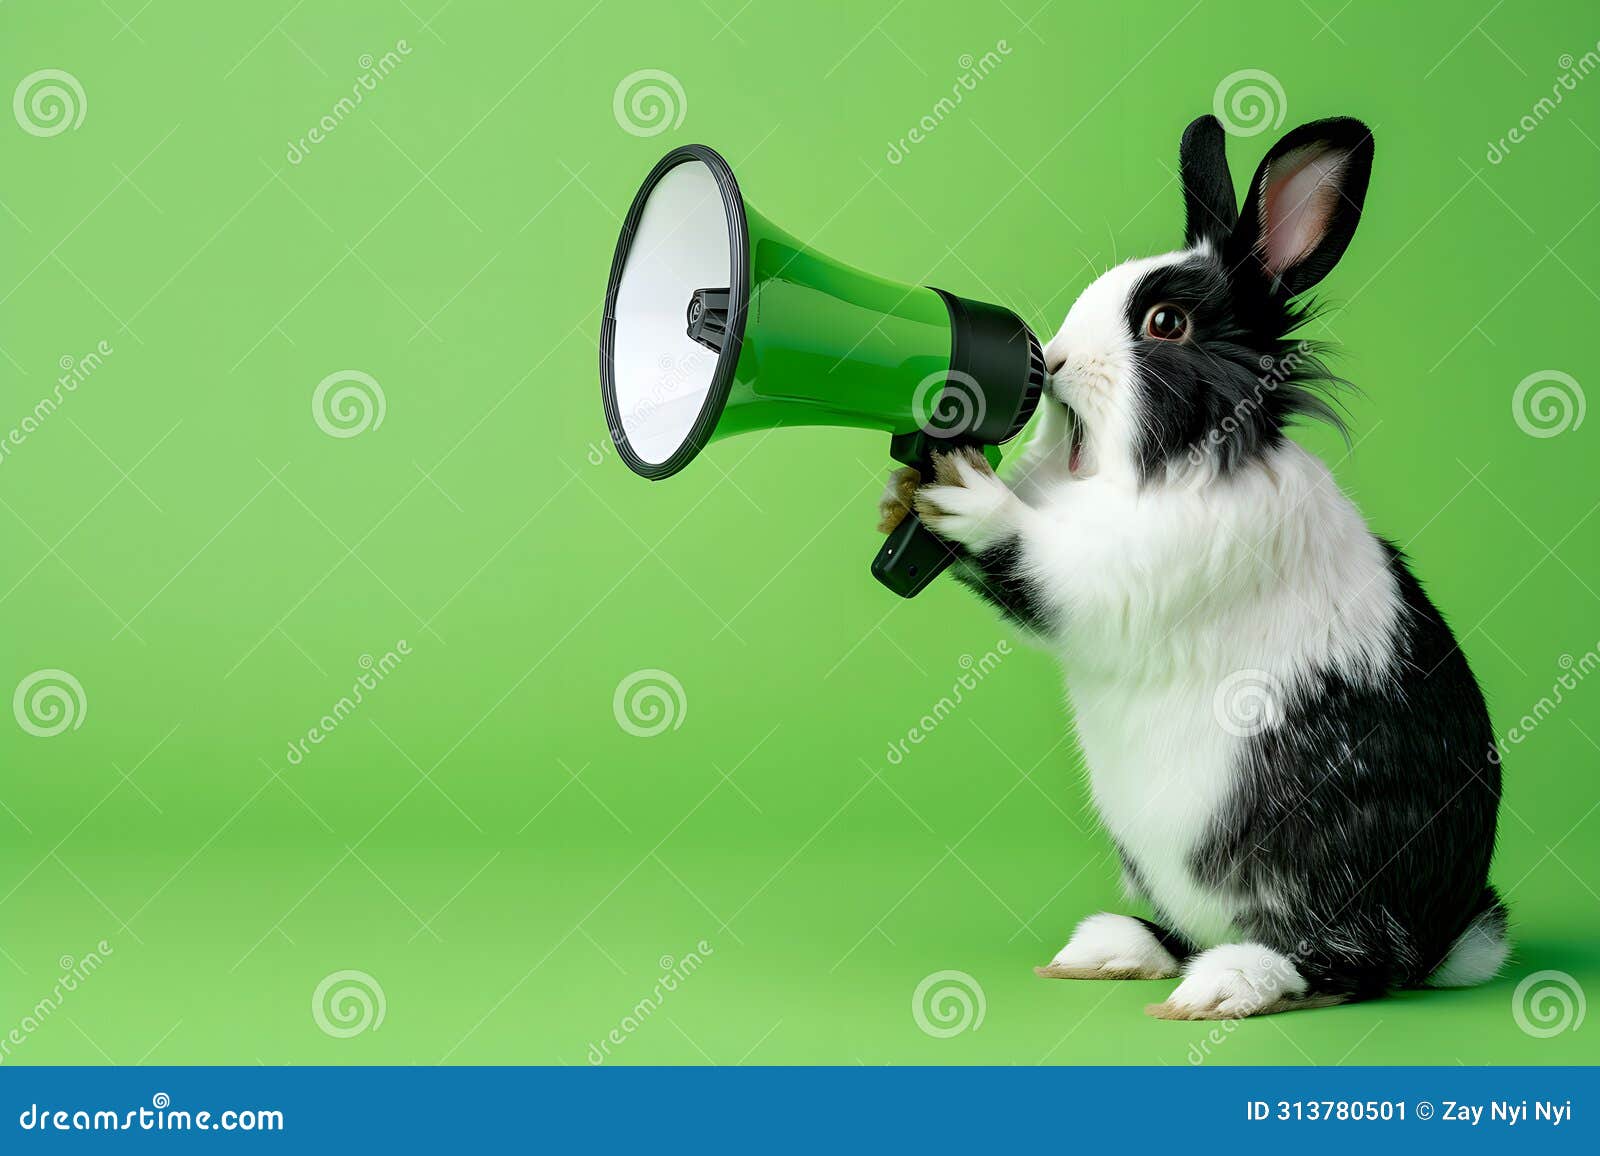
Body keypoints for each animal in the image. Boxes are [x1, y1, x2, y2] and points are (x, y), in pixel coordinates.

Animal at [879, 115, 1505, 1018]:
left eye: (1167, 323)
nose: (1054, 361)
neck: (1166, 468)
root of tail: (1454, 932)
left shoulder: (1126, 572)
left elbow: (1034, 562)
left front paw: (966, 497)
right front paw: (903, 493)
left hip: (1333, 873)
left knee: (1349, 964)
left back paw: (1224, 987)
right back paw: (1113, 950)